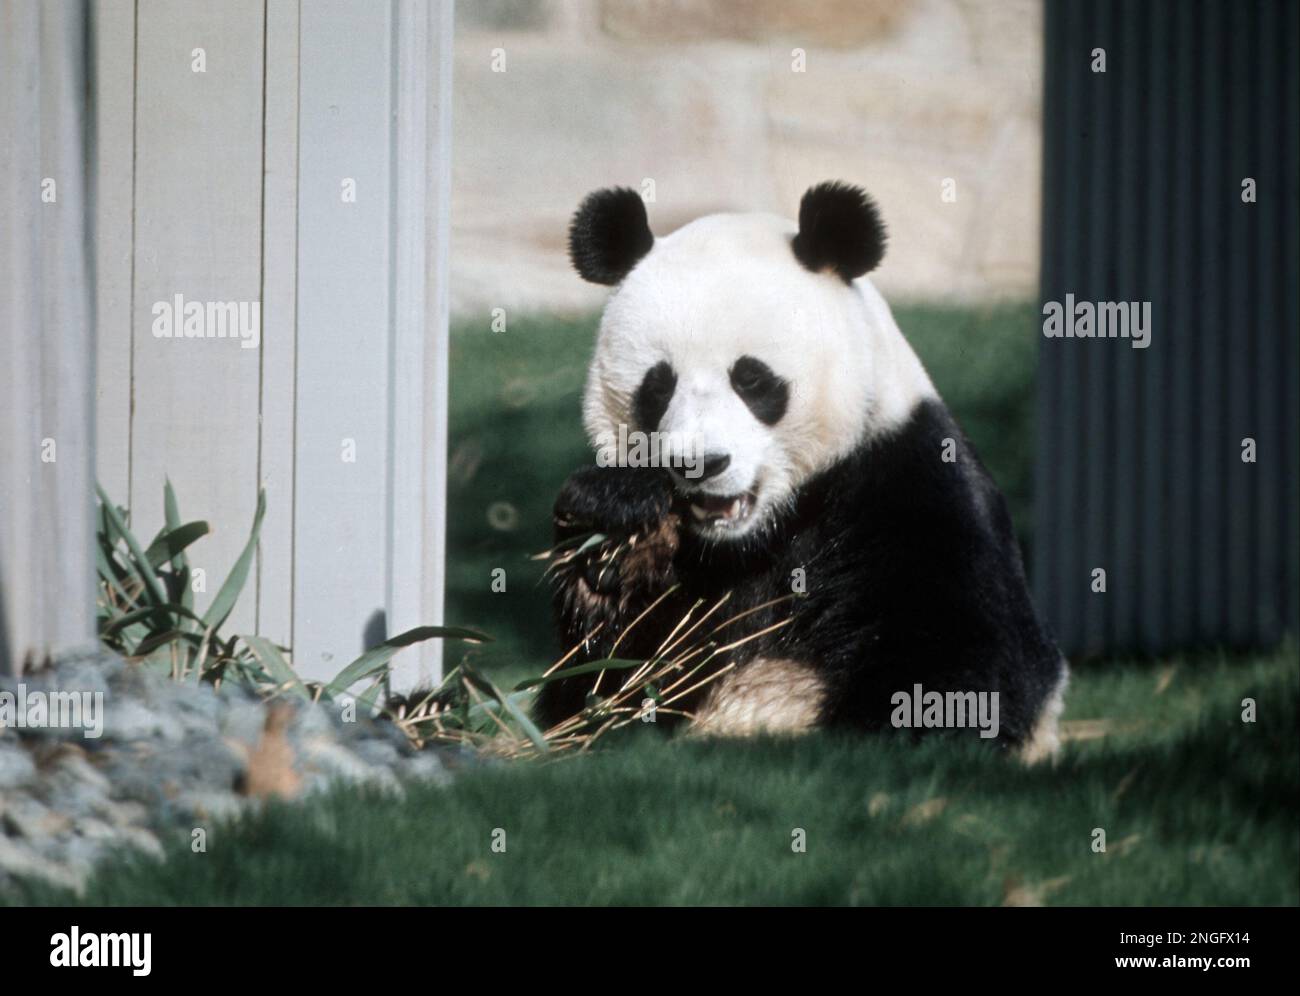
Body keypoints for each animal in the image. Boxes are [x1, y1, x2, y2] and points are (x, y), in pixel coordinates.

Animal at [533, 181, 1068, 761]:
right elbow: (596, 695)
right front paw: (619, 532)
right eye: (658, 386)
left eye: (751, 379)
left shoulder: (908, 482)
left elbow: (962, 672)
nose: (698, 463)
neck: (751, 537)